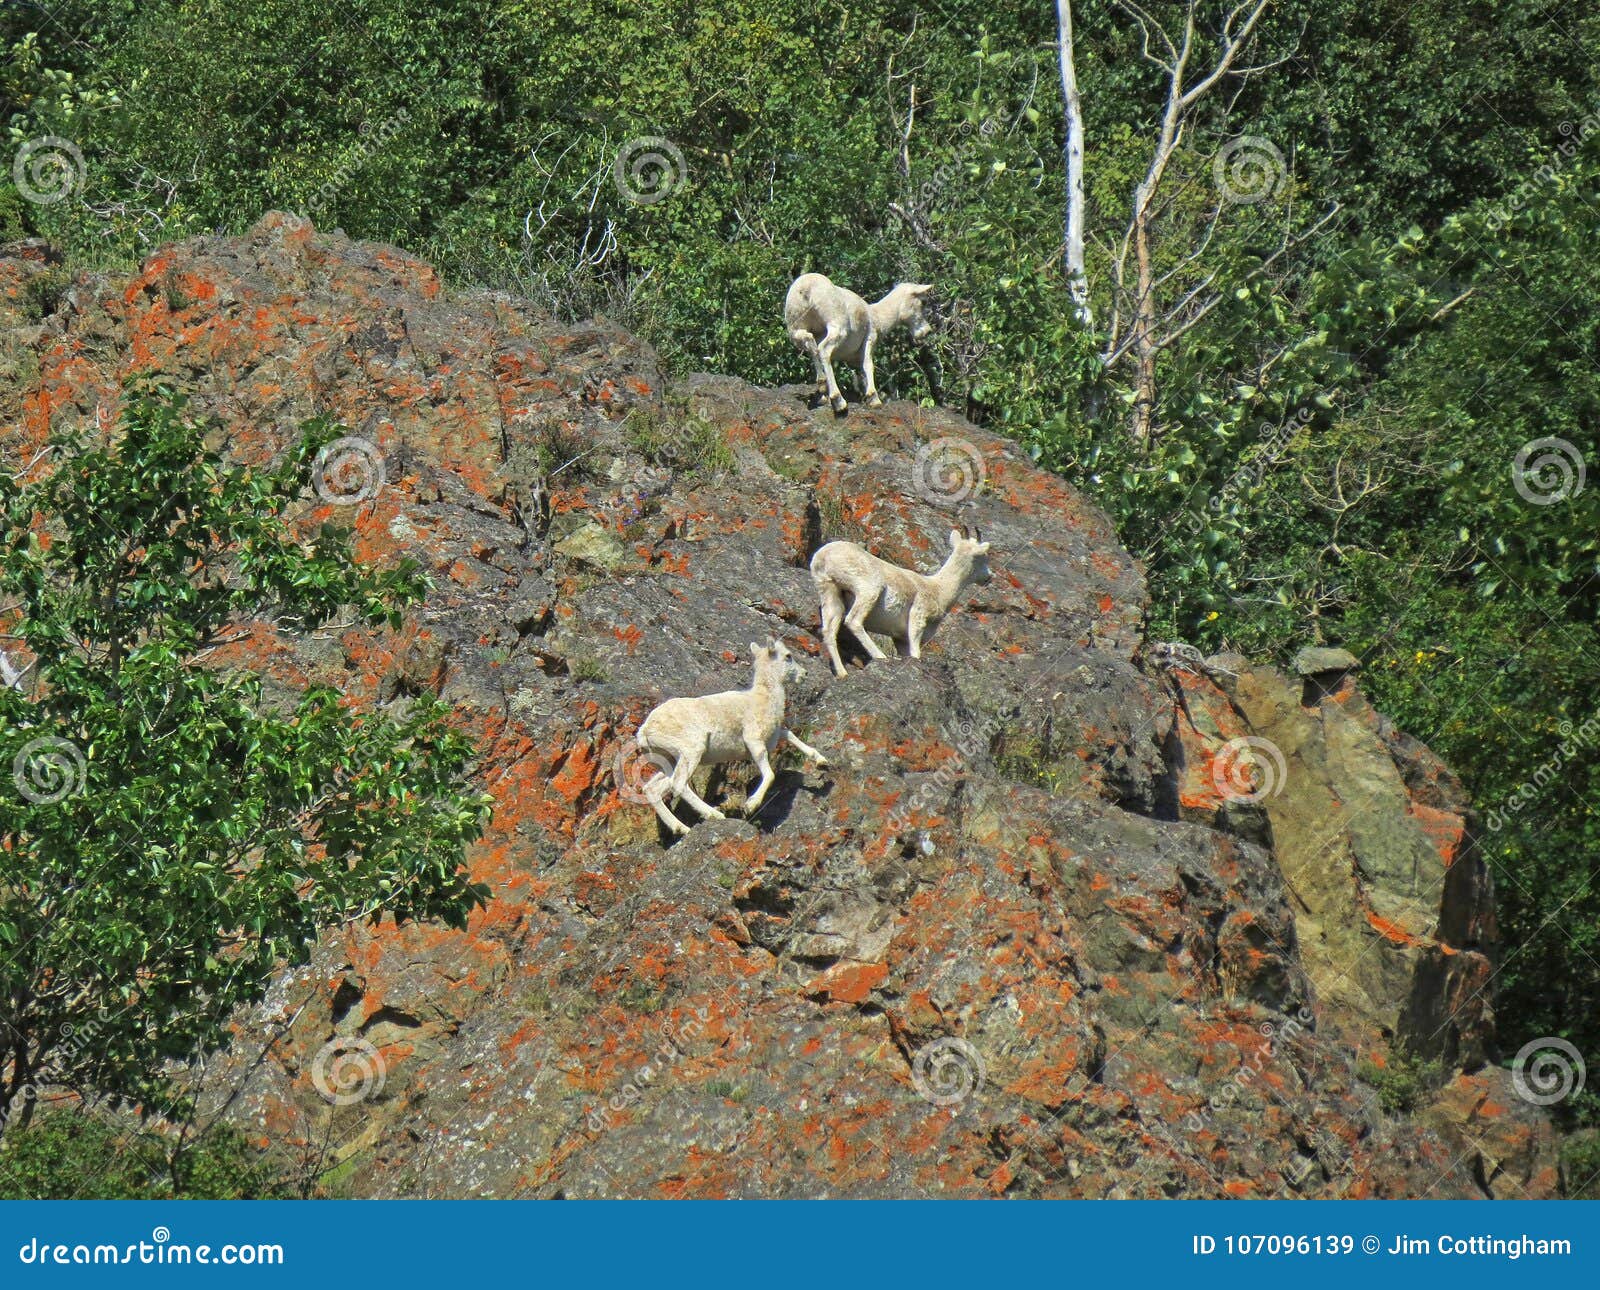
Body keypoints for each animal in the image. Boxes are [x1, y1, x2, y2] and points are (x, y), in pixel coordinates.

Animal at [635, 640, 829, 836]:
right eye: (788, 656)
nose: (804, 674)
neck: (764, 698)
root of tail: (644, 730)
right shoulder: (754, 742)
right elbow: (770, 774)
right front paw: (750, 805)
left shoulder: (773, 736)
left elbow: (790, 735)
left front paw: (822, 762)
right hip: (691, 752)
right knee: (679, 784)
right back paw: (714, 815)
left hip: (669, 761)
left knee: (653, 789)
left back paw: (681, 828)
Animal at [784, 273, 933, 415]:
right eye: (924, 302)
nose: (926, 331)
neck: (878, 316)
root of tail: (804, 288)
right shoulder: (869, 340)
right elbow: (868, 366)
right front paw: (874, 400)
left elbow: (861, 375)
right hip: (837, 327)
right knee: (823, 349)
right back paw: (838, 401)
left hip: (796, 329)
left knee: (811, 343)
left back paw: (822, 389)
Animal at [810, 527, 993, 678]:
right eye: (983, 556)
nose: (989, 577)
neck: (938, 589)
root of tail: (823, 556)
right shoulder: (917, 620)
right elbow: (916, 653)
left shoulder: (900, 639)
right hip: (868, 591)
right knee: (853, 621)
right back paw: (880, 656)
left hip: (831, 593)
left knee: (828, 631)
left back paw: (843, 674)